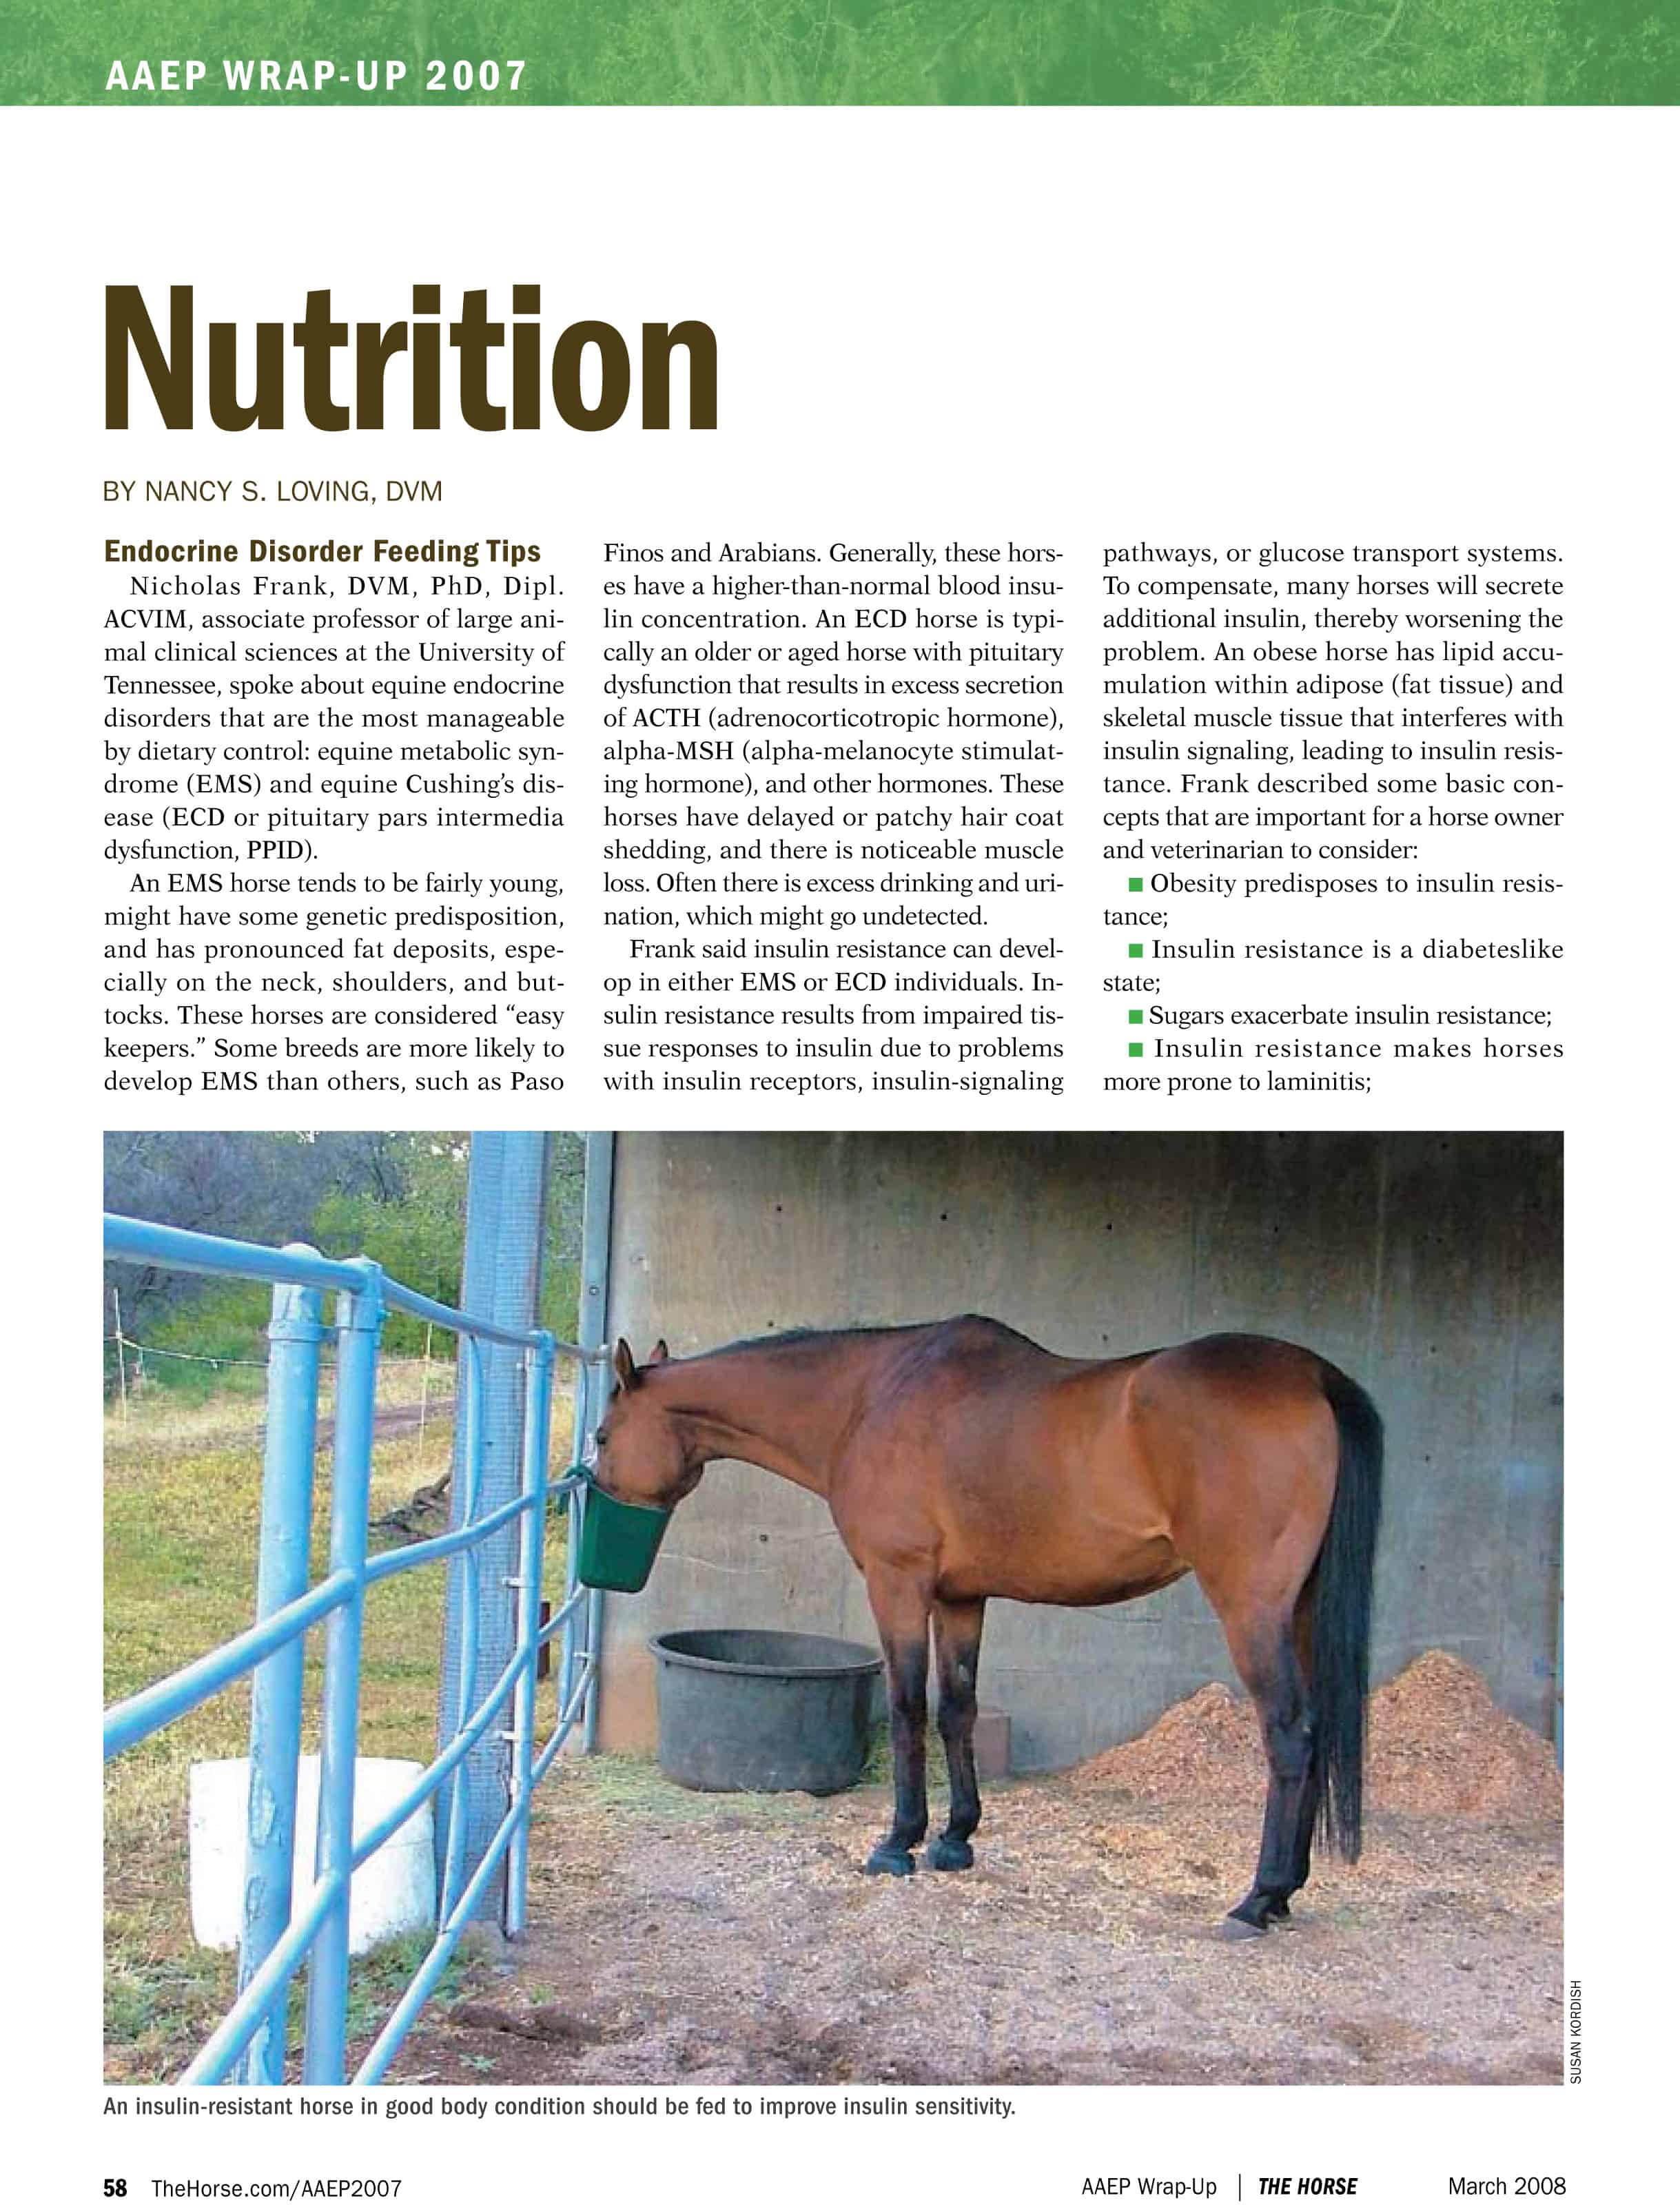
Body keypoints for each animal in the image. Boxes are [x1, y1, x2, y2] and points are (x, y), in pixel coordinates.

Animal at [592, 1315, 1383, 1936]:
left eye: (602, 1434)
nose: (591, 1493)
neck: (866, 1399)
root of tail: (1310, 1374)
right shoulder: (960, 1598)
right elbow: (956, 1709)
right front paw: (954, 1839)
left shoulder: (898, 1583)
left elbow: (907, 1709)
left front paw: (897, 1843)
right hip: (1300, 1608)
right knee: (1315, 1729)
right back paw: (1286, 1894)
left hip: (1251, 1608)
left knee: (1290, 1733)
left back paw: (1258, 1899)